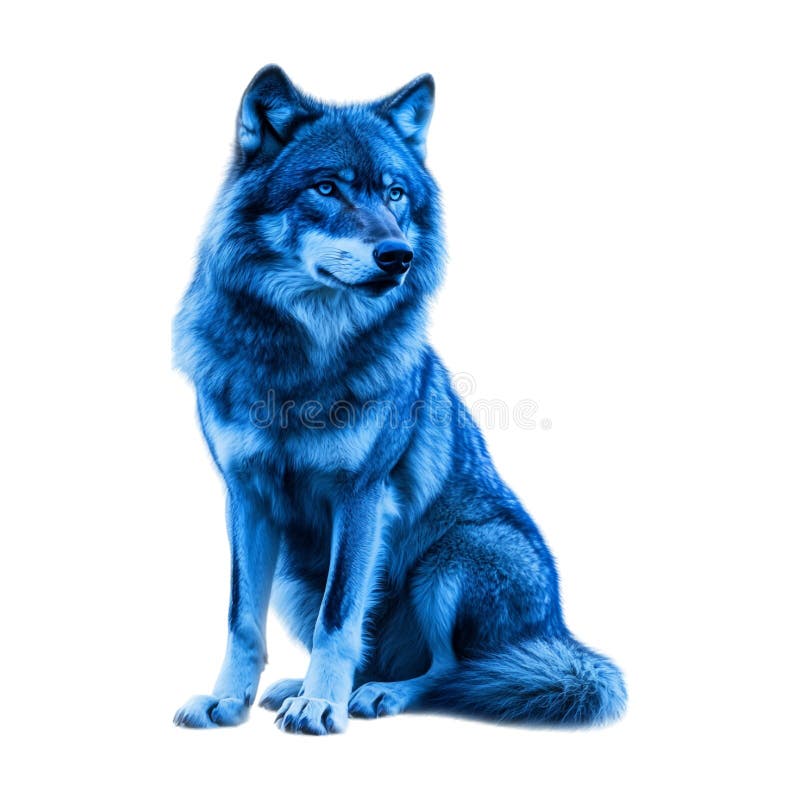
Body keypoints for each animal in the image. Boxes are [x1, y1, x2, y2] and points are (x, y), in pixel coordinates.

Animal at [172, 65, 626, 734]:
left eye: (394, 195)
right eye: (327, 188)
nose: (398, 257)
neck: (300, 365)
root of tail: (560, 634)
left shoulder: (362, 495)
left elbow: (339, 619)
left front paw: (321, 705)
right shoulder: (246, 495)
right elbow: (240, 619)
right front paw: (227, 700)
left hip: (452, 559)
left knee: (451, 671)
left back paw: (376, 694)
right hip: (298, 577)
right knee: (378, 649)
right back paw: (308, 687)